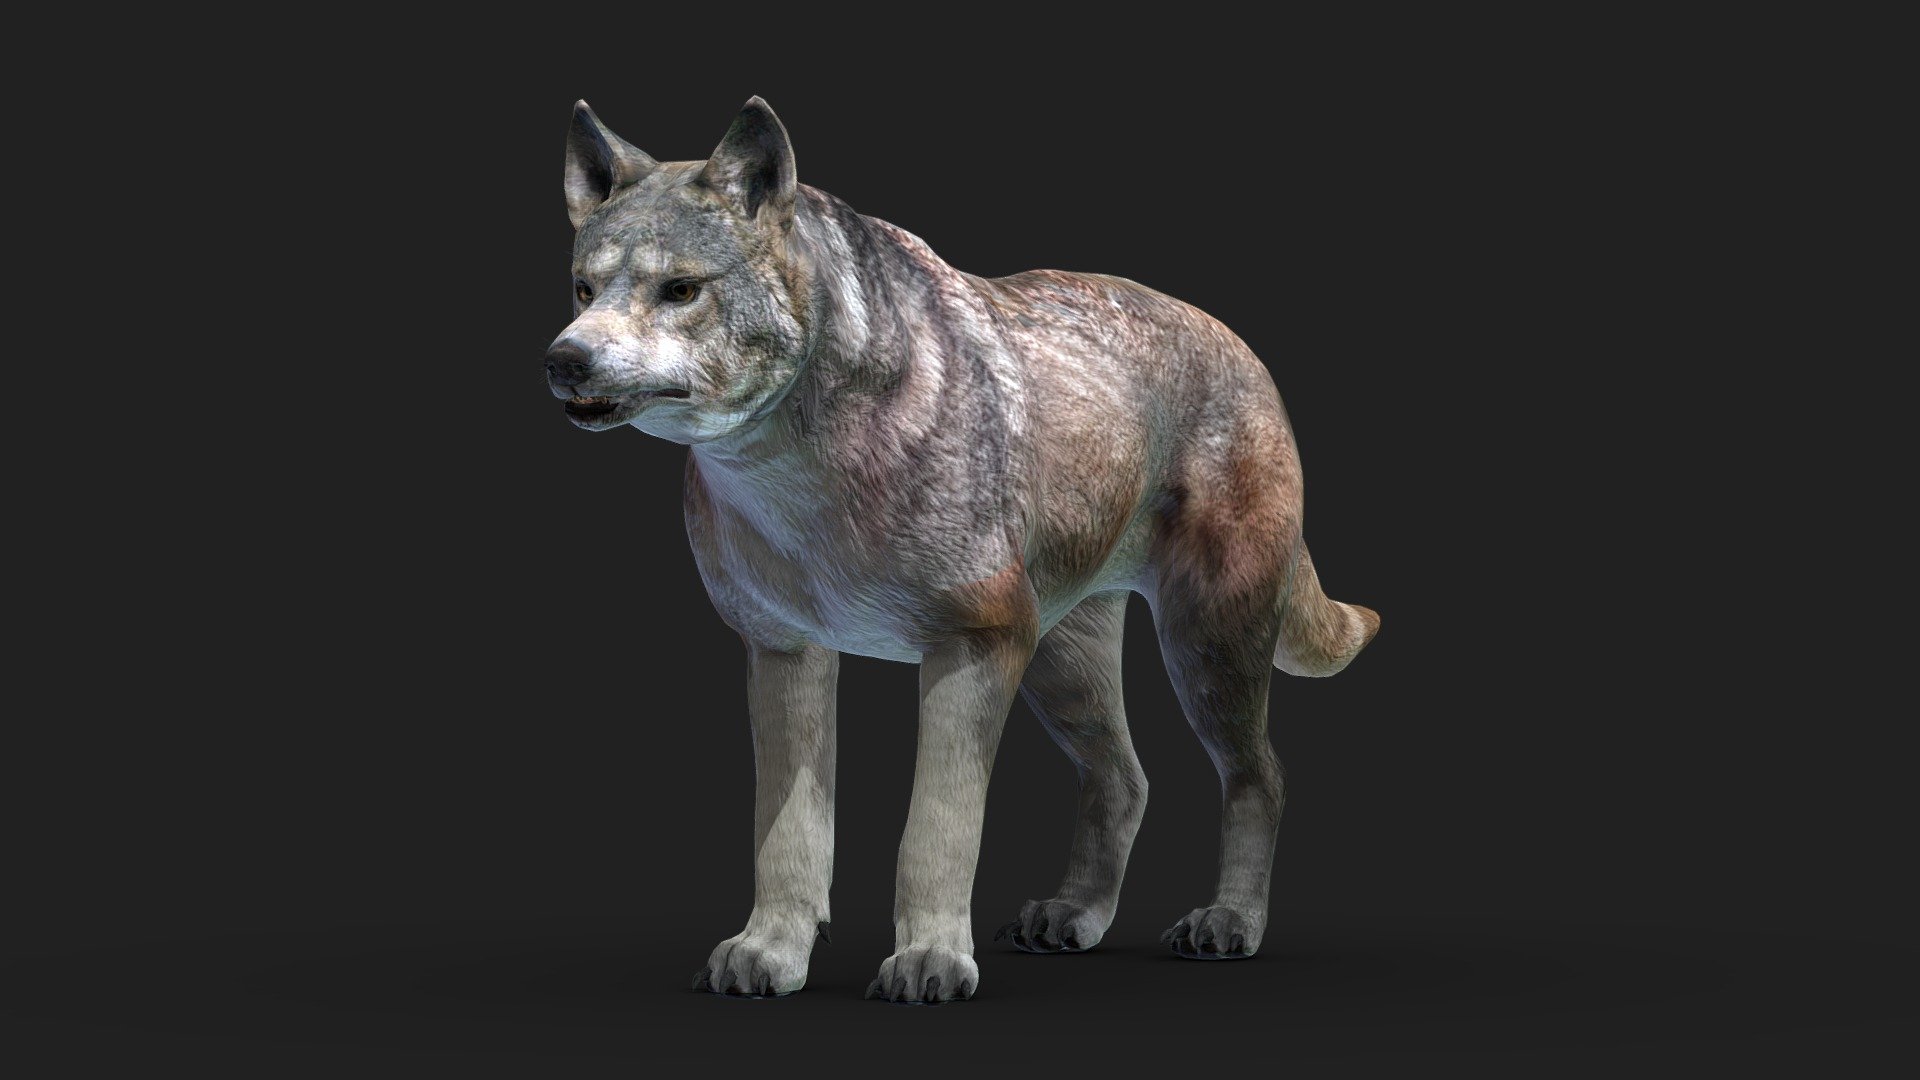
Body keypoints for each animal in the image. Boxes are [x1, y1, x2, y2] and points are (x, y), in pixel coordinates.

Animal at [547, 97, 1378, 1003]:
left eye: (681, 290)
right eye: (584, 289)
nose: (565, 358)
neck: (795, 478)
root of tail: (1245, 350)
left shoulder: (975, 645)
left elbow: (935, 831)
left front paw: (930, 961)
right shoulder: (784, 651)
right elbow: (786, 832)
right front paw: (769, 951)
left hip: (1203, 646)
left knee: (1259, 776)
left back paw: (1229, 923)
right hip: (1066, 663)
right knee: (1125, 779)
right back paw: (1074, 916)